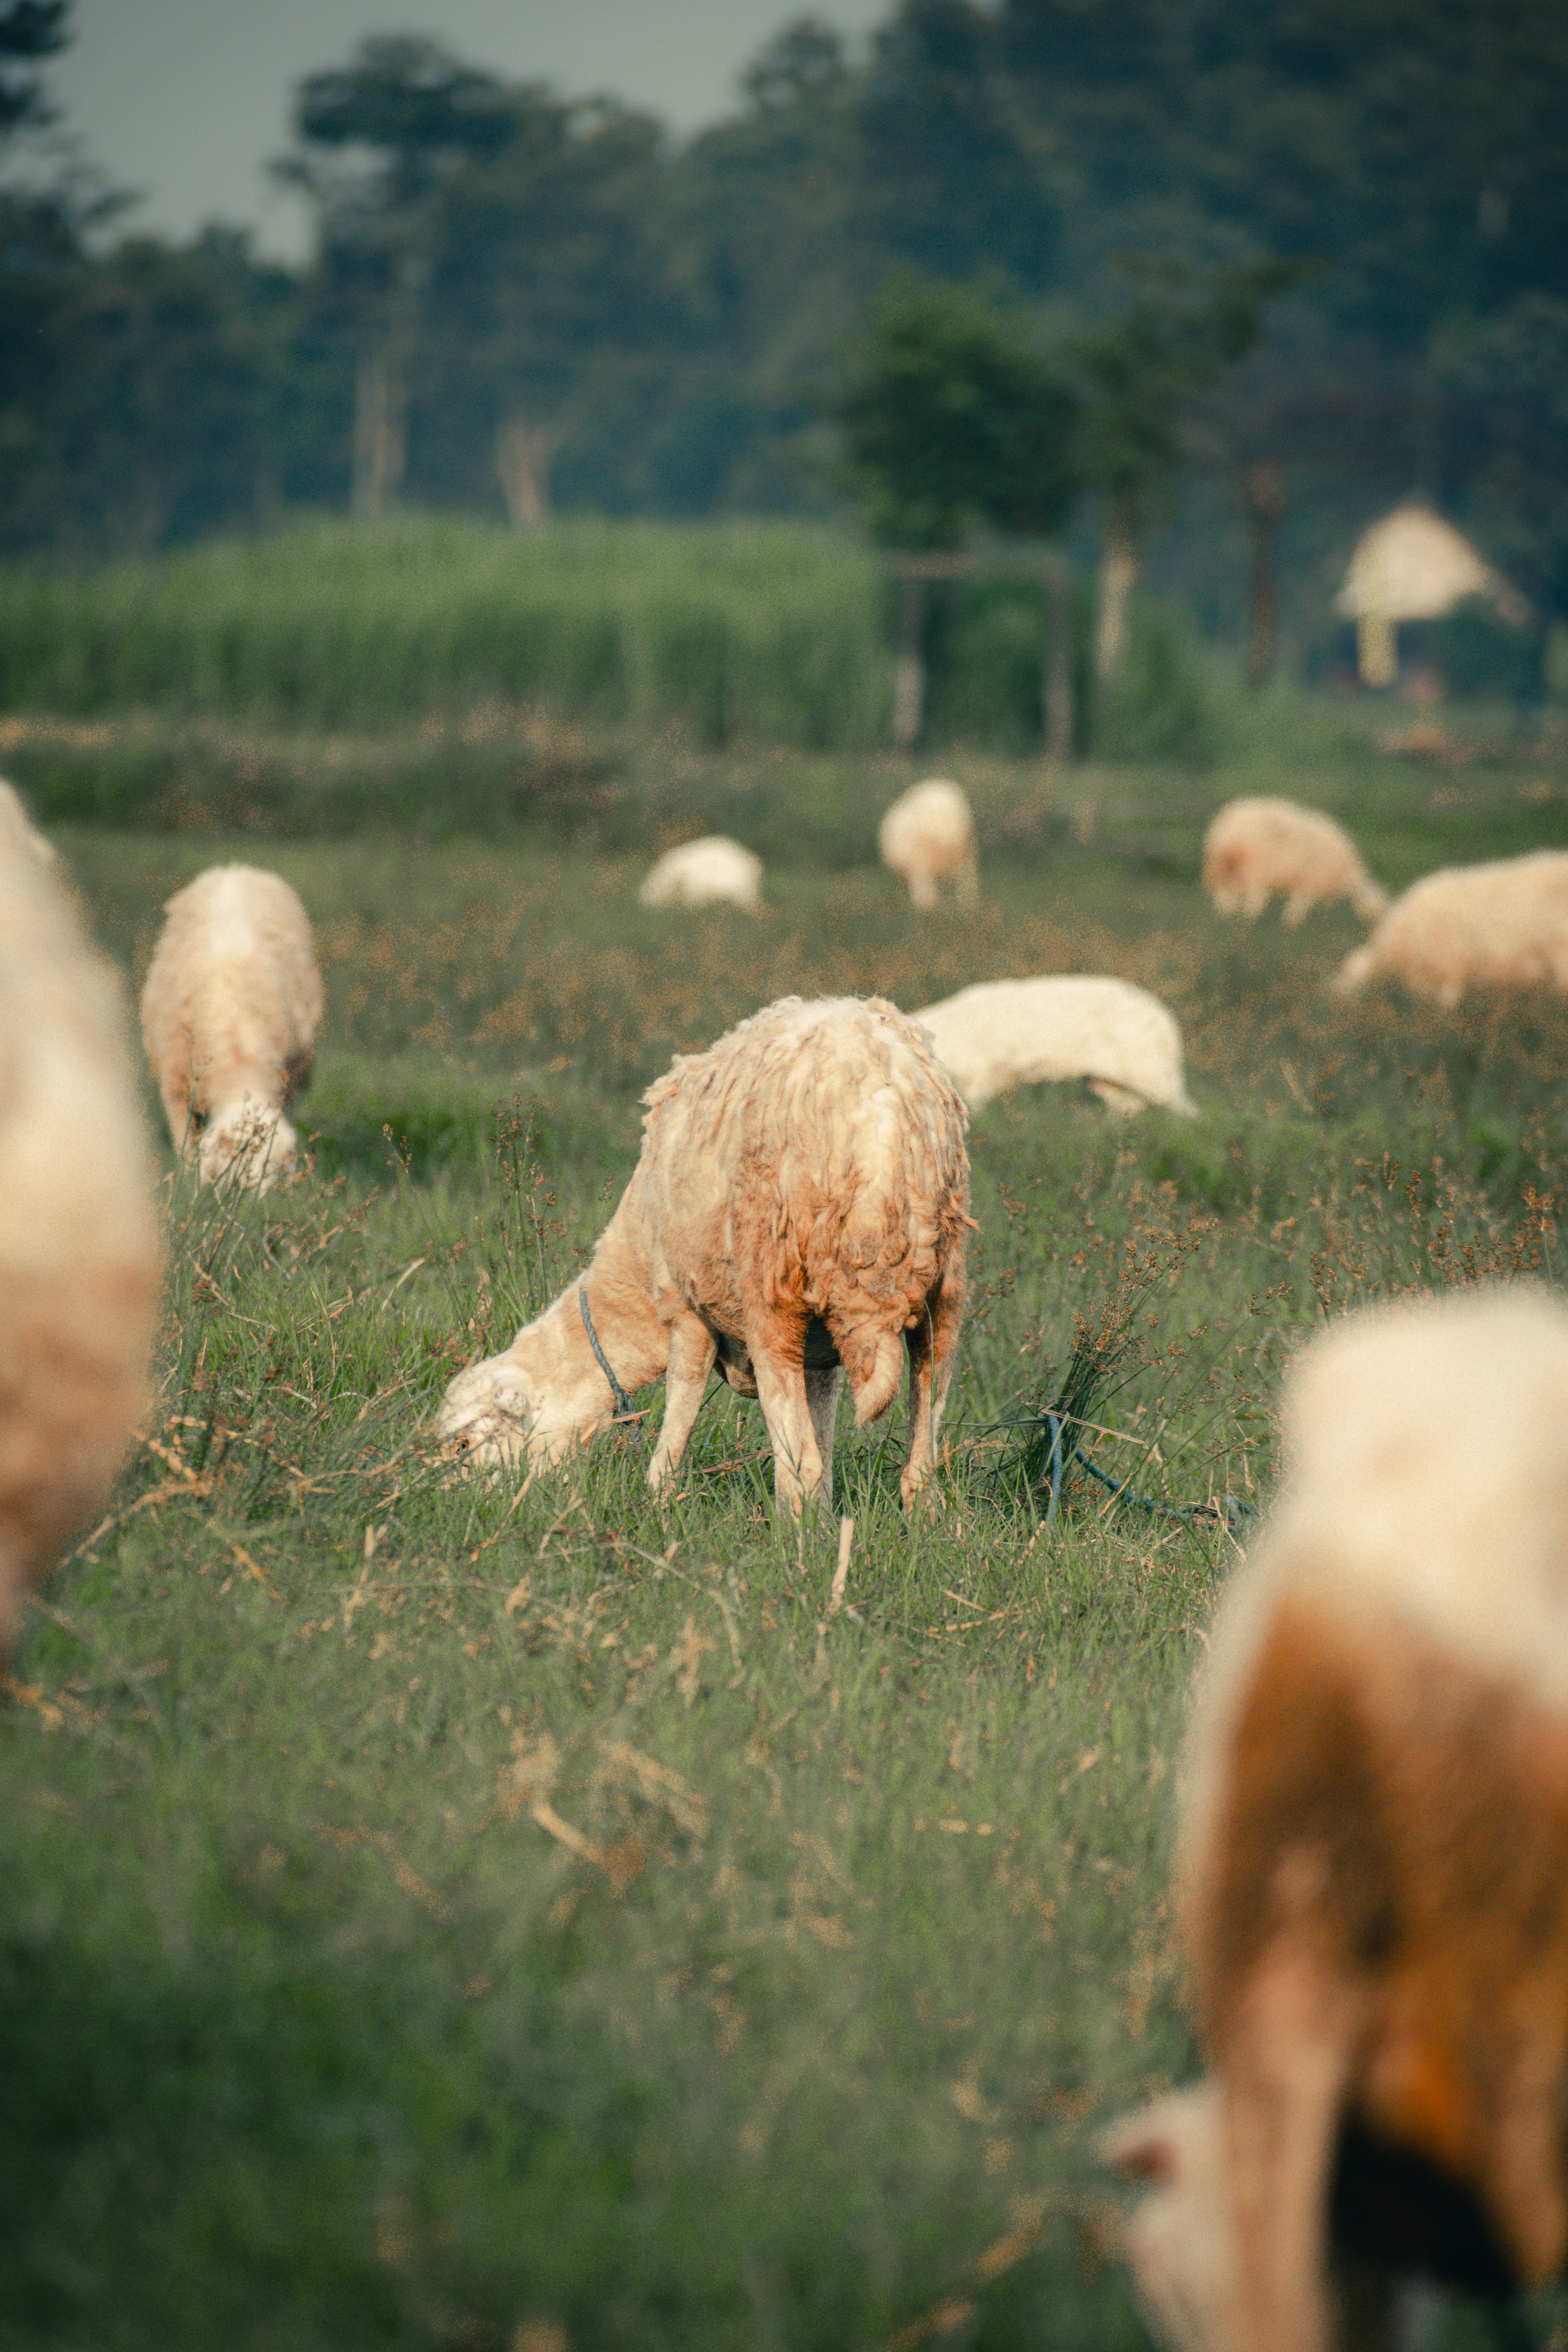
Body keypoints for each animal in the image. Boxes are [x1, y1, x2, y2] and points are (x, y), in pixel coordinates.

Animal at [139, 863, 324, 1193]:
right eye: (235, 1163)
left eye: (275, 1170)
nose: (256, 1203)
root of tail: (236, 869)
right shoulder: (177, 1089)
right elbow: (187, 1145)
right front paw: (189, 1182)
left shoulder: (288, 1084)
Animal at [438, 995, 971, 1517]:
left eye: (465, 1446)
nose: (448, 1506)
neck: (633, 1282)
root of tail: (882, 1121)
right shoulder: (821, 1354)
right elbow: (823, 1445)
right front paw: (824, 1524)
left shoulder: (685, 1310)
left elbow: (681, 1415)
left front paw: (656, 1505)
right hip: (944, 1289)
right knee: (918, 1465)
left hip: (772, 1288)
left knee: (799, 1465)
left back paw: (791, 1544)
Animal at [1203, 797, 1386, 928]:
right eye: (1379, 908)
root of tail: (1228, 828)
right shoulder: (1312, 881)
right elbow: (1300, 905)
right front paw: (1291, 923)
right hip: (1255, 864)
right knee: (1254, 894)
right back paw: (1248, 918)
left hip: (1223, 864)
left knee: (1226, 891)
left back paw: (1226, 915)